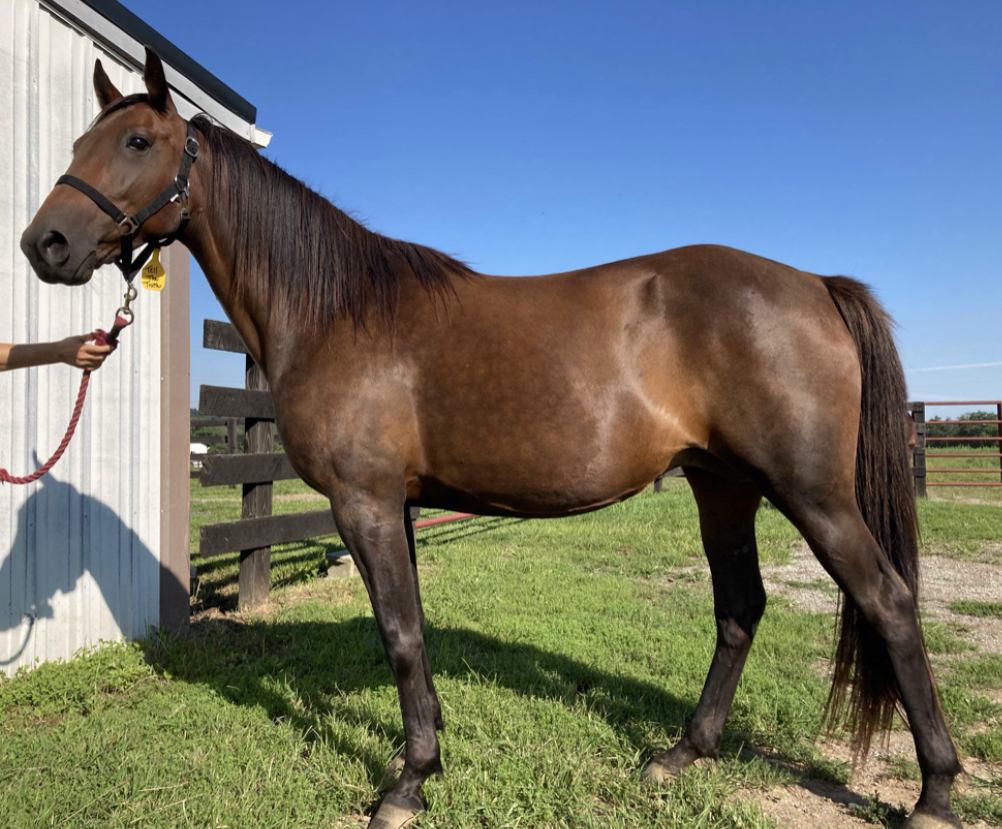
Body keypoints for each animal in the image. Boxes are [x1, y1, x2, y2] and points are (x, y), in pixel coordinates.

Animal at [20, 48, 962, 829]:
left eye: (139, 139)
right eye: (80, 138)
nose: (45, 243)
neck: (335, 311)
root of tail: (814, 282)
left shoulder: (364, 503)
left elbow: (400, 634)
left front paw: (406, 783)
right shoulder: (396, 505)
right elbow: (412, 630)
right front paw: (428, 753)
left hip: (813, 492)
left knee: (889, 602)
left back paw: (936, 793)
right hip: (722, 485)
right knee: (740, 610)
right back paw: (680, 754)